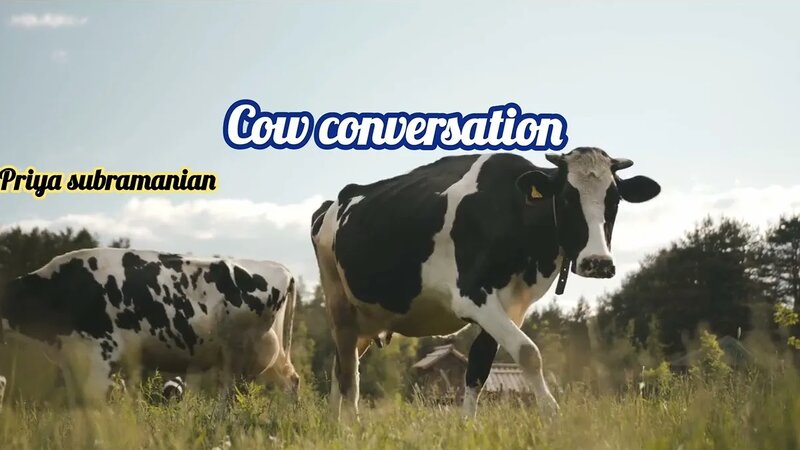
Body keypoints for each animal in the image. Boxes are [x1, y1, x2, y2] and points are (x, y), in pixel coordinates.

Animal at [0, 248, 299, 404]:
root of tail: (280, 267)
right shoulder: (72, 358)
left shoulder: (100, 355)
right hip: (271, 356)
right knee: (291, 381)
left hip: (244, 356)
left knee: (232, 397)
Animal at [311, 147, 660, 419]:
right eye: (566, 198)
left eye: (614, 201)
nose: (597, 262)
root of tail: (336, 200)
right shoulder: (472, 295)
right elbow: (528, 352)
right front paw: (553, 416)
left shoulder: (512, 304)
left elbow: (478, 369)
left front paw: (468, 425)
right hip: (338, 301)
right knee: (348, 372)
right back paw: (350, 425)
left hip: (368, 318)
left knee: (342, 365)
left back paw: (335, 423)